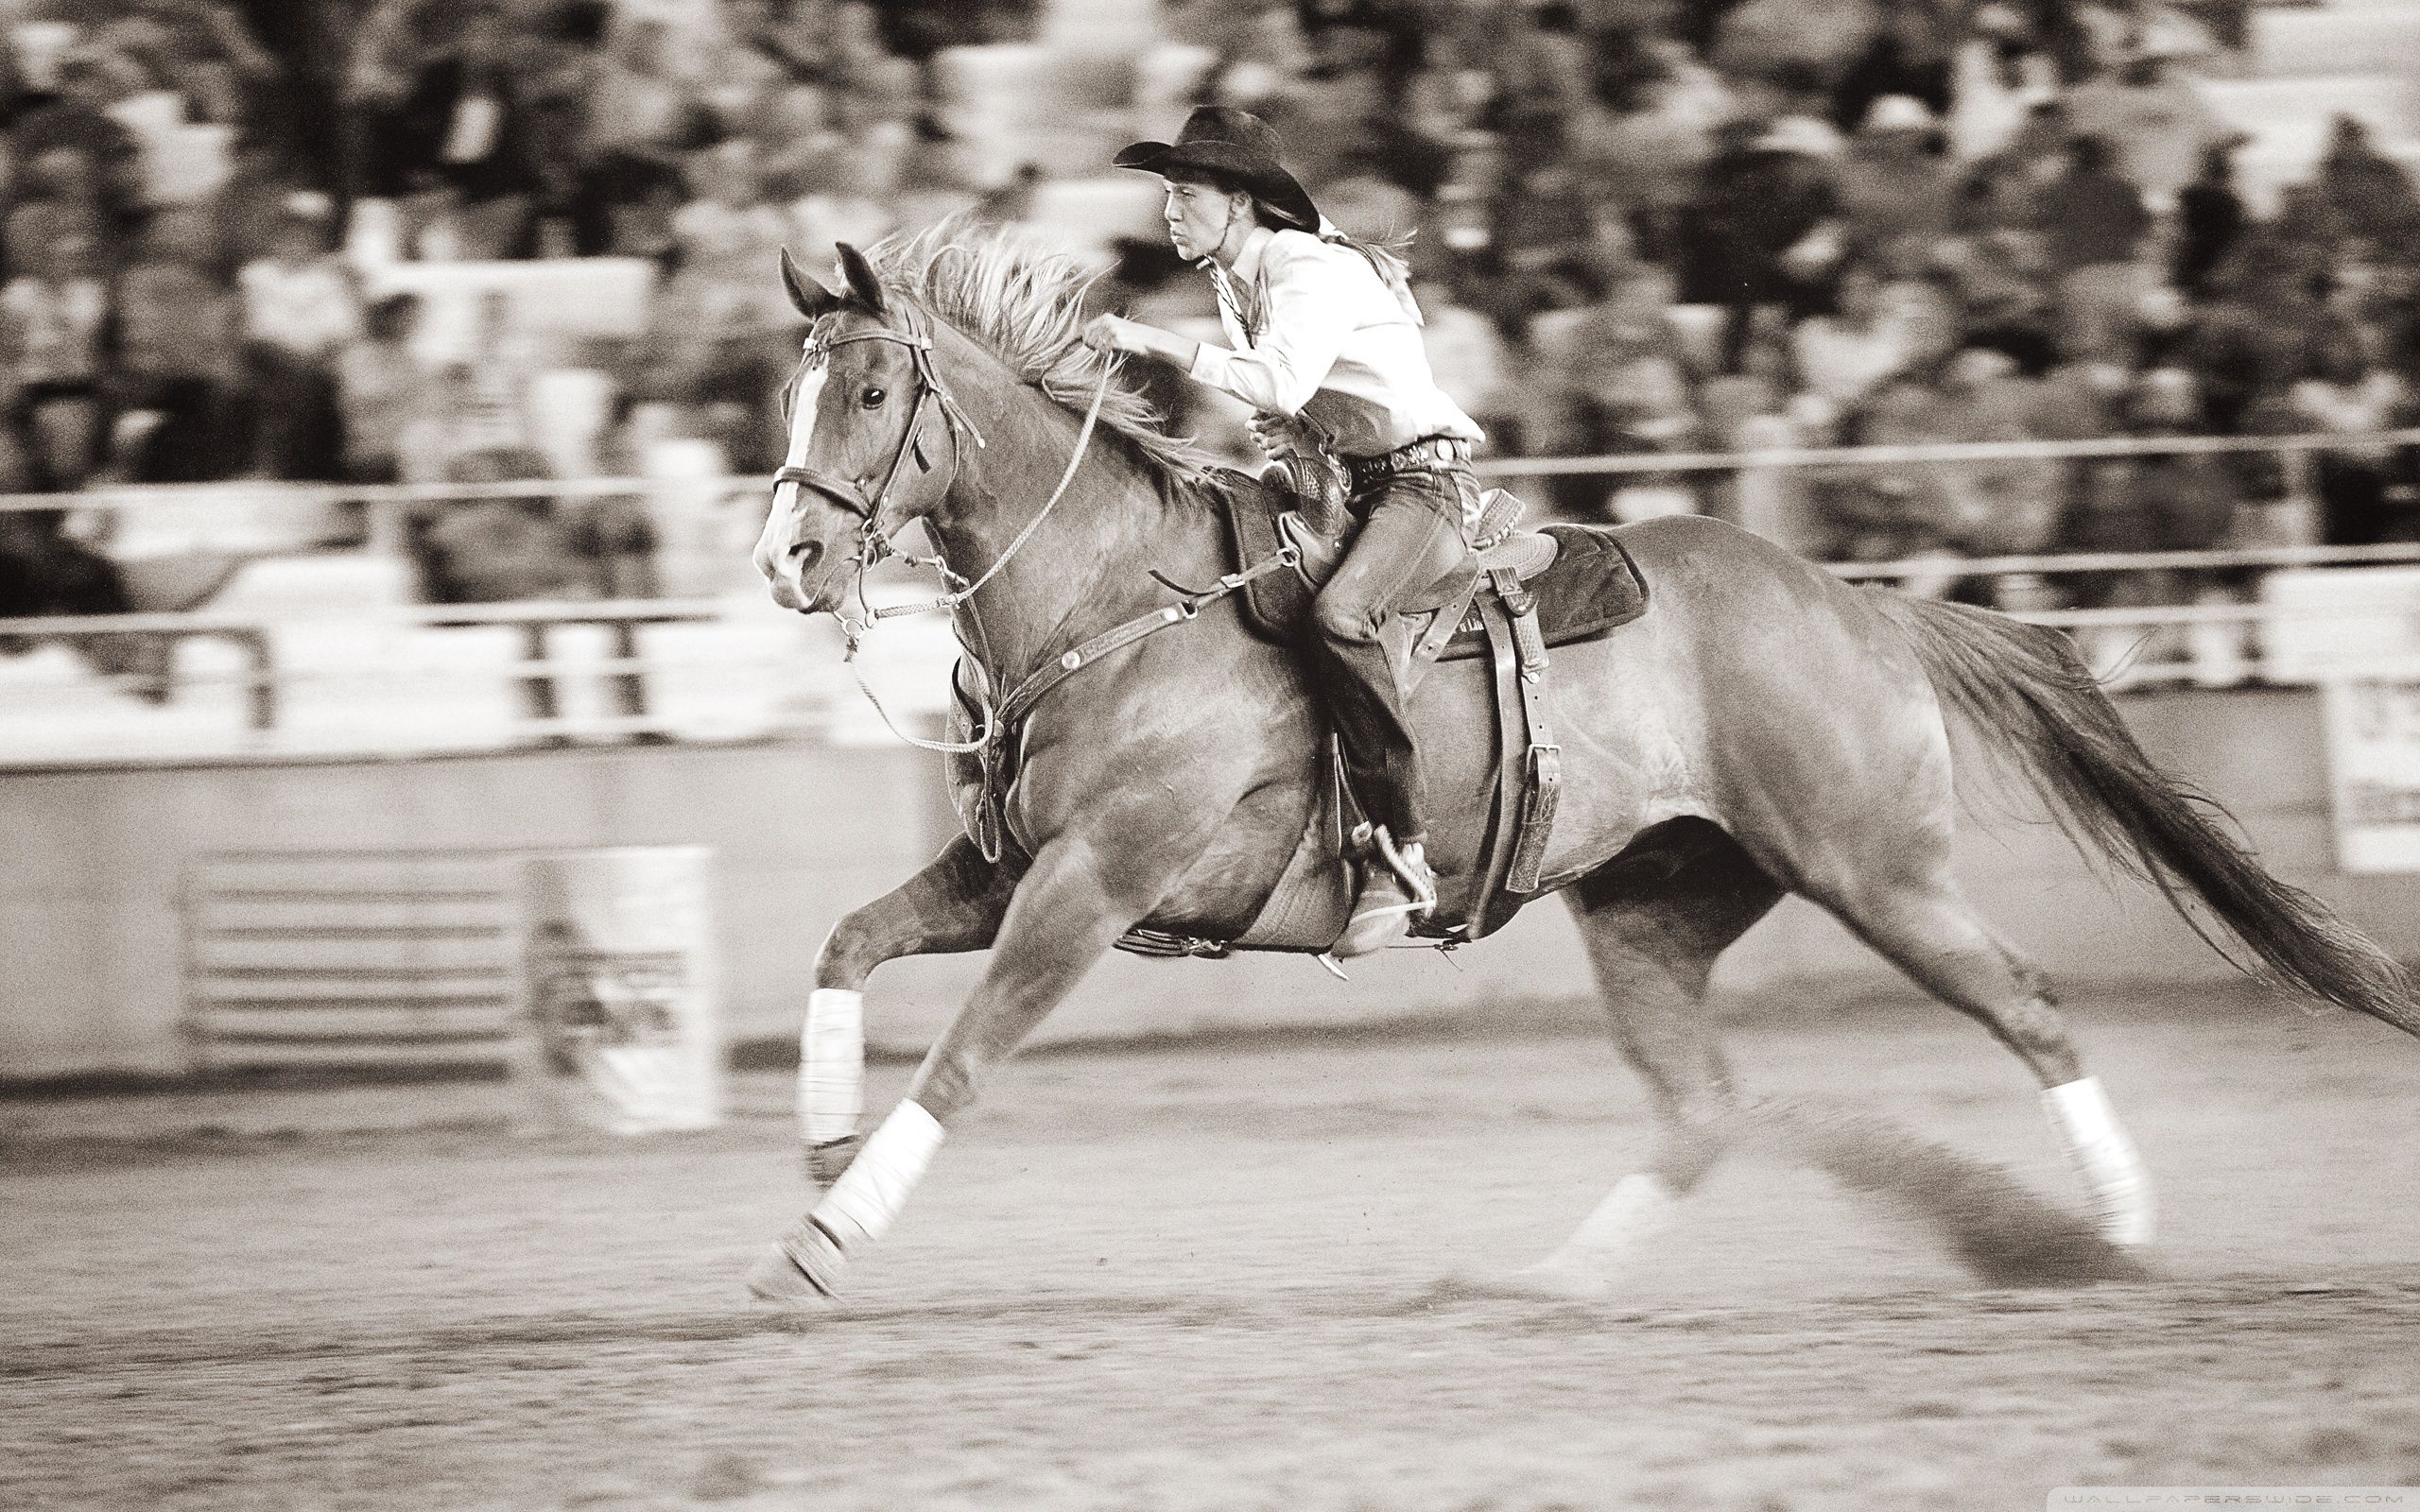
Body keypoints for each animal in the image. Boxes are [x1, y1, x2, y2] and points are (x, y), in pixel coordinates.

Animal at [743, 223, 2416, 1305]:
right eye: (794, 390)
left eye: (874, 392)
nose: (785, 559)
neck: (1119, 601)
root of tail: (1862, 603)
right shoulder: (1006, 869)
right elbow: (843, 941)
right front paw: (821, 1142)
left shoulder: (1094, 883)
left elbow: (968, 1051)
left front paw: (826, 1238)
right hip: (1653, 905)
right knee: (1703, 1109)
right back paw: (1554, 1281)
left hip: (1873, 868)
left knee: (2031, 1007)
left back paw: (2119, 1236)